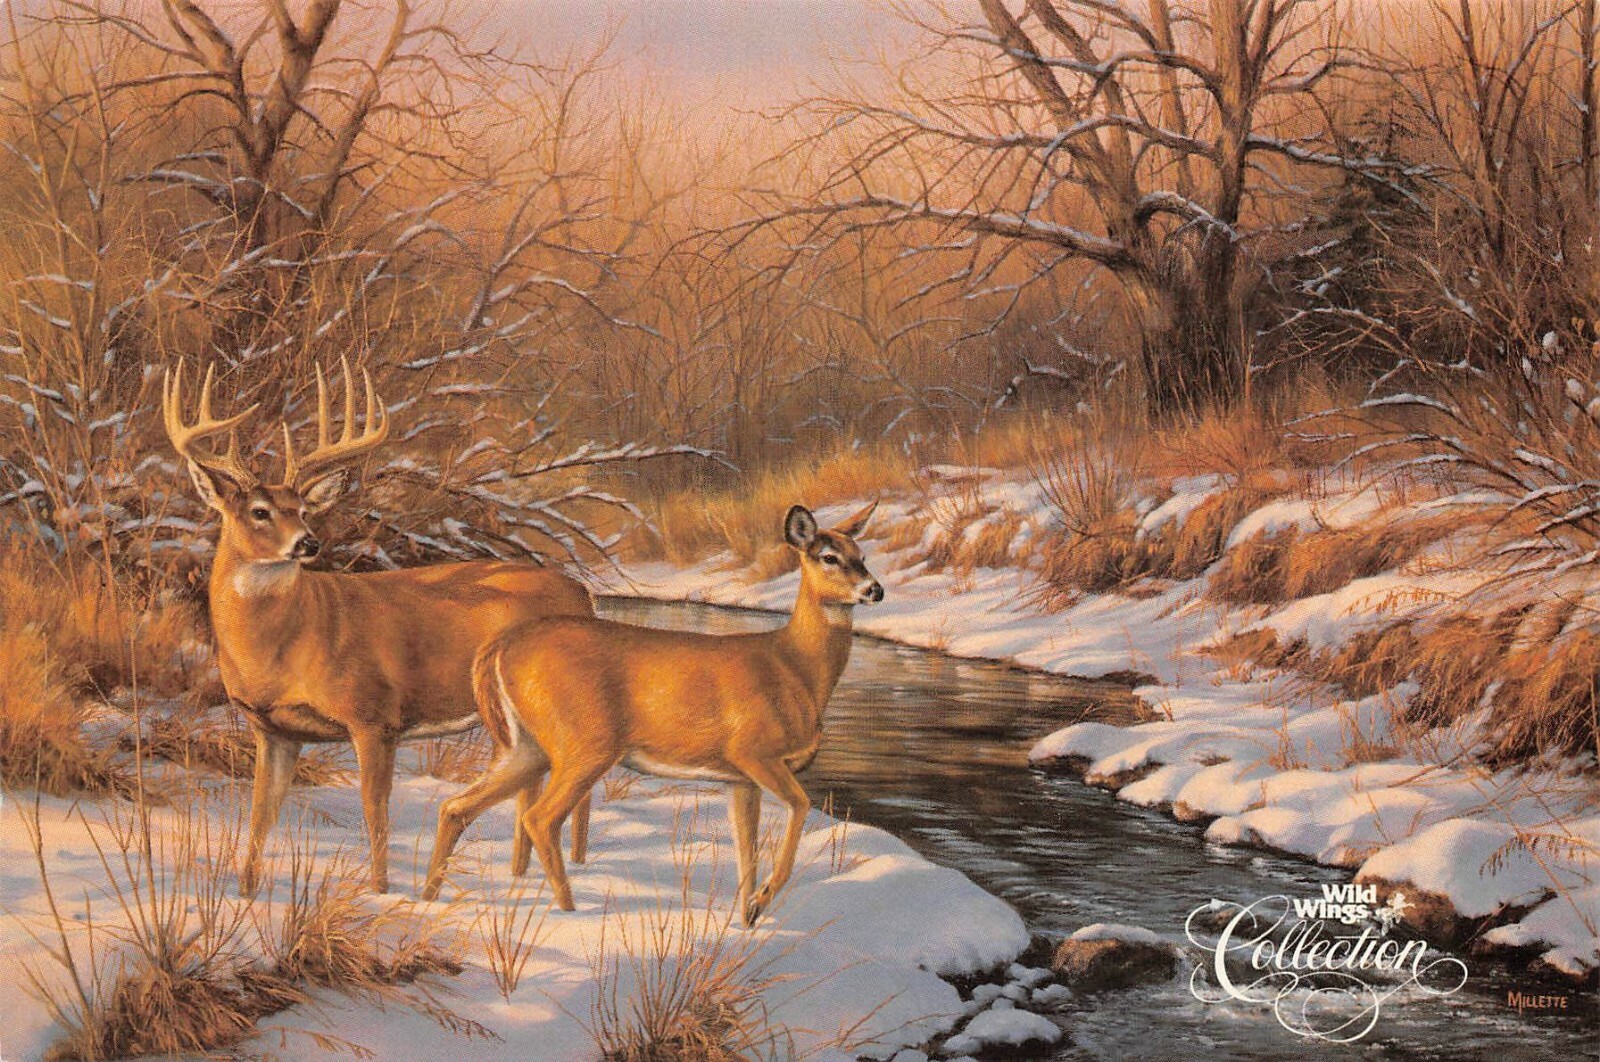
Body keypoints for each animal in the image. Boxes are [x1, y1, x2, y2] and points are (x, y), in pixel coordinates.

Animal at [162, 359, 596, 896]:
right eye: (259, 512)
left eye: (302, 510)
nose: (308, 543)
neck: (279, 649)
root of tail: (583, 593)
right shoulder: (272, 729)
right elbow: (261, 814)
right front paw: (245, 892)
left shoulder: (373, 716)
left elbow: (375, 812)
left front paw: (381, 891)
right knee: (533, 788)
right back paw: (521, 877)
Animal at [422, 501, 882, 924]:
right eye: (829, 557)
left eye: (862, 554)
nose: (875, 590)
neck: (795, 667)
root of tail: (498, 648)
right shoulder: (754, 751)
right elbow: (800, 807)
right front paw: (764, 898)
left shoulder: (740, 779)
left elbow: (746, 851)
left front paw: (747, 916)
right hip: (585, 742)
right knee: (540, 818)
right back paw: (570, 913)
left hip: (528, 746)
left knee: (455, 807)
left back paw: (426, 899)